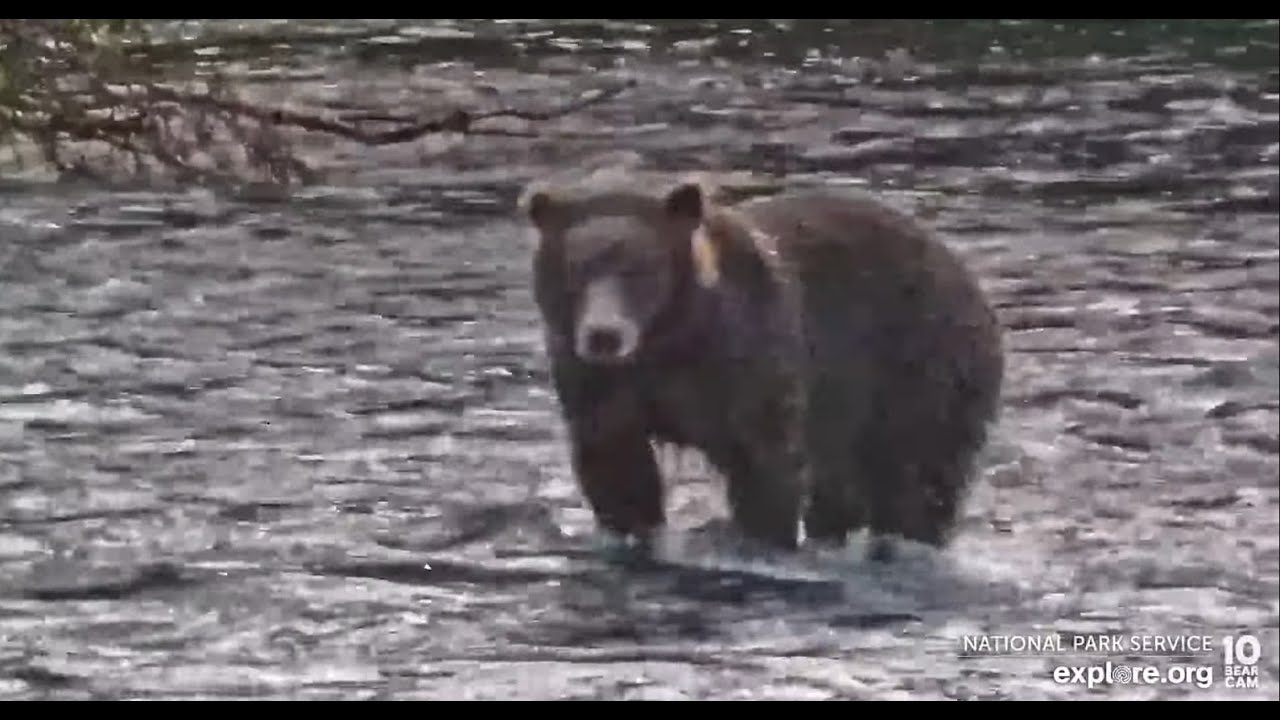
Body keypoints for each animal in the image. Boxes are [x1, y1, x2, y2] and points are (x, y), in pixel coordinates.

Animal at [519, 174, 1004, 562]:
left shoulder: (748, 359)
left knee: (917, 479)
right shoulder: (602, 383)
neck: (673, 340)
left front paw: (760, 541)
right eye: (575, 268)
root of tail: (963, 271)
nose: (603, 335)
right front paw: (633, 532)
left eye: (642, 269)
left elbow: (763, 459)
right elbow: (616, 460)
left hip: (919, 367)